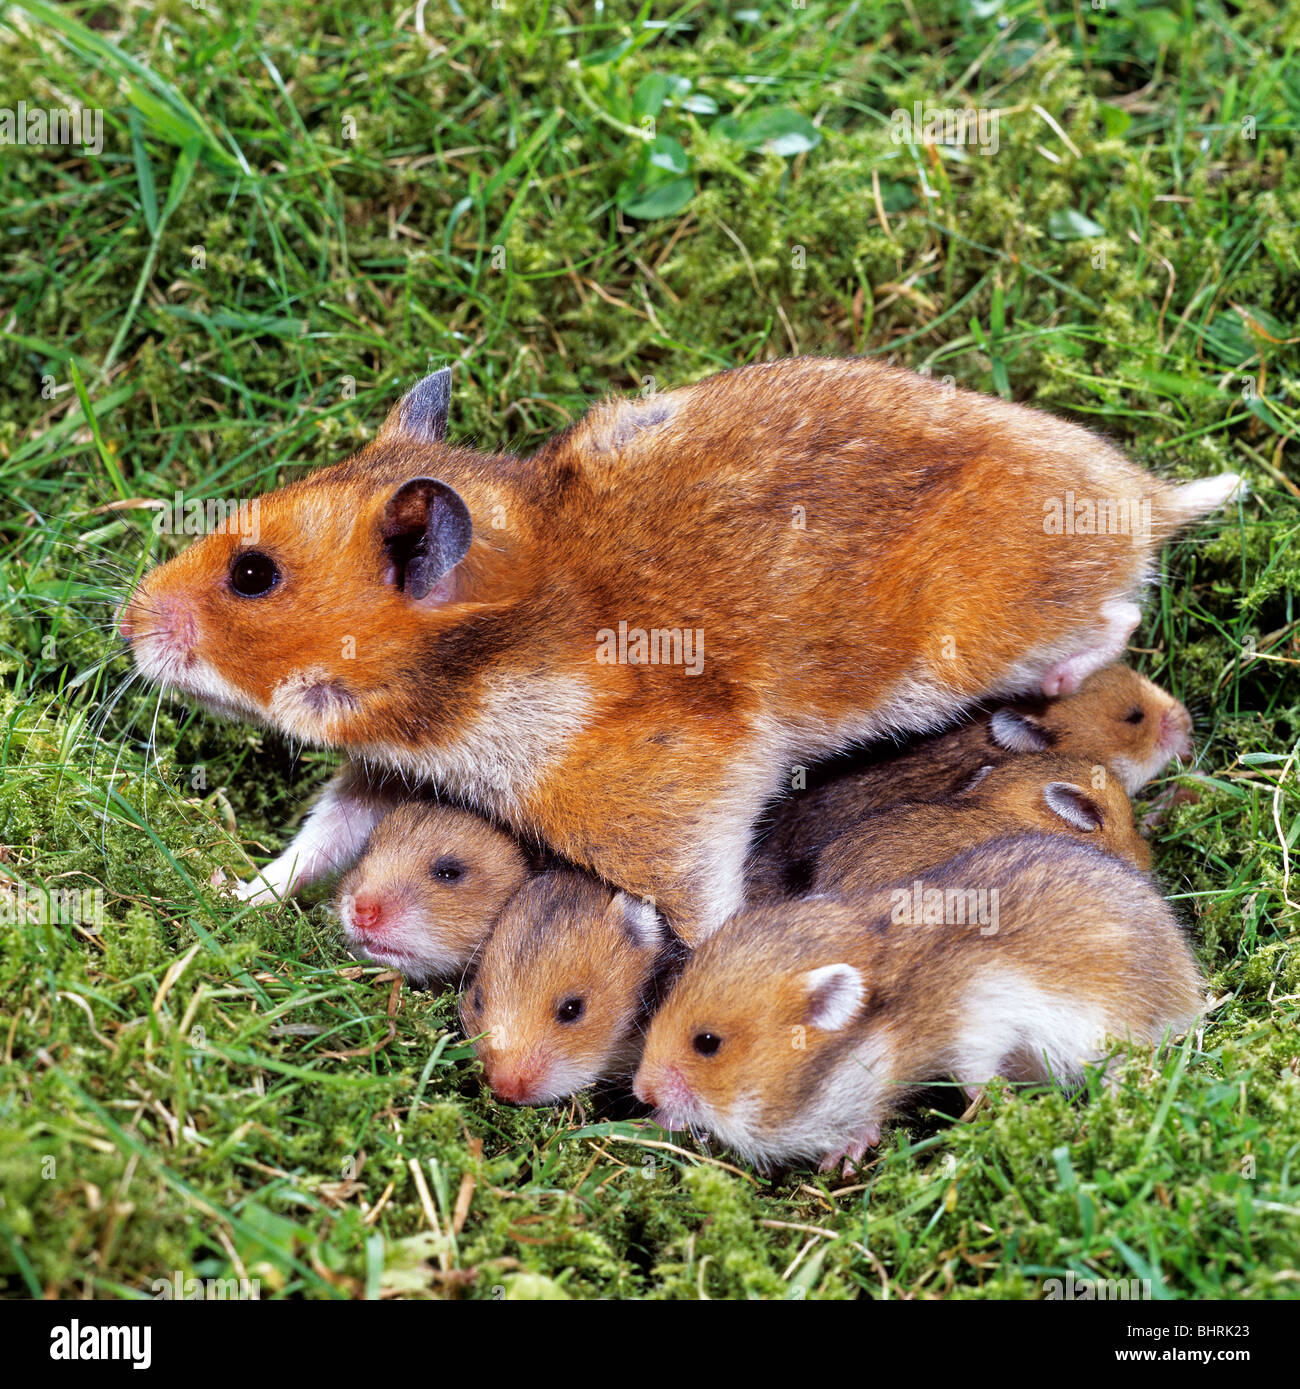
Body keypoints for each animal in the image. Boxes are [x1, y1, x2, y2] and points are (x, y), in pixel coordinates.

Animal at [633, 834, 1204, 1173]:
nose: (640, 1094)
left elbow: (975, 1080)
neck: (884, 1019)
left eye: (707, 1043)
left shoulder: (980, 1021)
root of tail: (1191, 986)